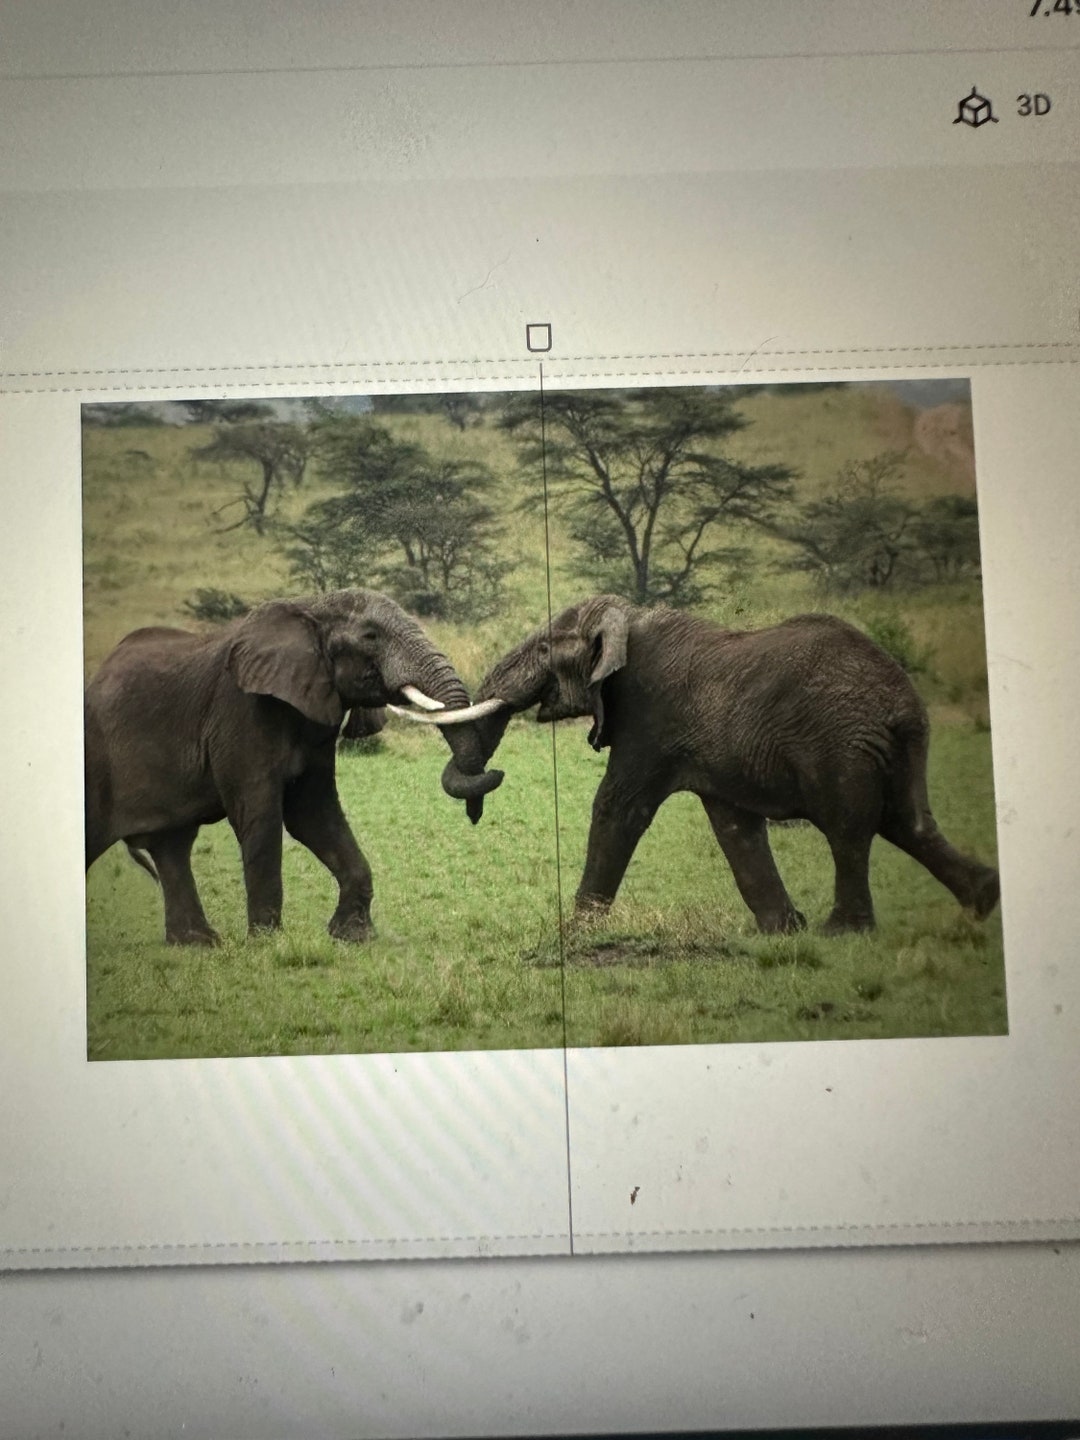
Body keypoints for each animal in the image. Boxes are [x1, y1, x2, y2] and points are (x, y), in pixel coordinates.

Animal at [84, 589, 504, 945]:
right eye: (370, 636)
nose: (493, 778)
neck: (312, 607)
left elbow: (313, 814)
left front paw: (354, 936)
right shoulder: (241, 711)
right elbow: (260, 815)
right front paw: (266, 944)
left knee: (172, 846)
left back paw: (198, 945)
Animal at [416, 595, 1000, 935]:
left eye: (543, 649)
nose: (483, 798)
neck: (626, 618)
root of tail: (899, 704)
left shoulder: (649, 713)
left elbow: (618, 806)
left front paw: (577, 931)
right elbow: (734, 825)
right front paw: (782, 931)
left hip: (840, 746)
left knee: (849, 829)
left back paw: (843, 932)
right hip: (901, 746)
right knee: (910, 822)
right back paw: (982, 903)